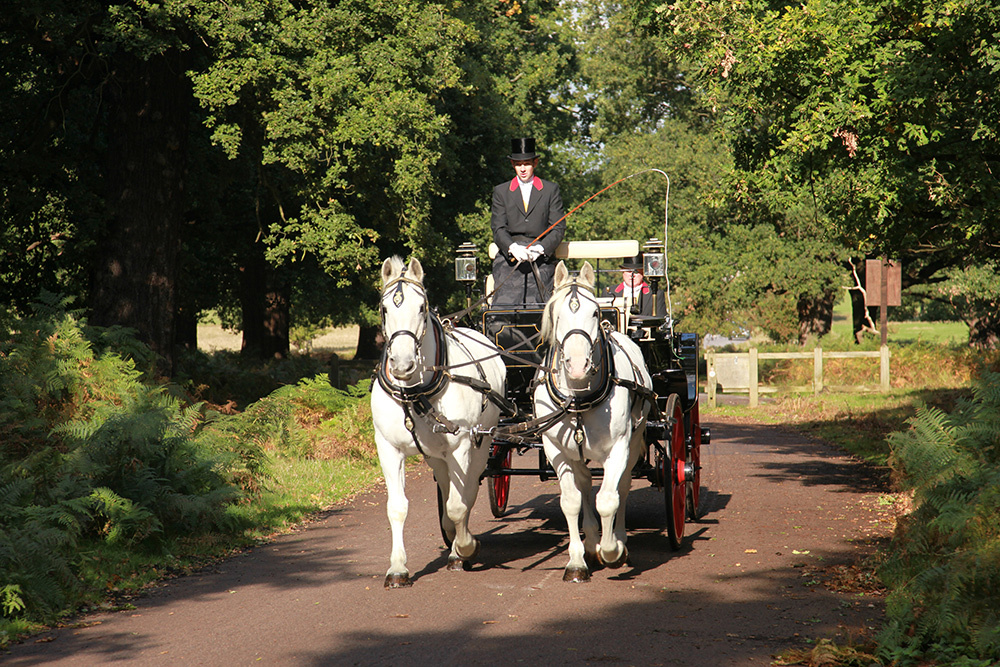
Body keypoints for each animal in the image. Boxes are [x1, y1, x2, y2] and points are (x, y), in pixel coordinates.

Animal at [371, 256, 507, 588]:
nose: (402, 364)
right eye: (385, 308)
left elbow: (459, 504)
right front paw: (397, 568)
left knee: (468, 489)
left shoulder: (461, 445)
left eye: (421, 307)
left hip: (481, 442)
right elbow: (397, 507)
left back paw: (460, 544)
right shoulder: (388, 448)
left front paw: (465, 549)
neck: (414, 392)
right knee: (446, 485)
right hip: (436, 454)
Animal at [533, 260, 654, 582]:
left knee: (622, 486)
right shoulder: (557, 451)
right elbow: (572, 500)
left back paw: (618, 541)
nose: (577, 365)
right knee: (586, 483)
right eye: (556, 314)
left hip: (635, 440)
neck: (579, 396)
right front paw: (577, 561)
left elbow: (609, 499)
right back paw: (589, 544)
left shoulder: (619, 447)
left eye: (596, 313)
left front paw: (612, 550)